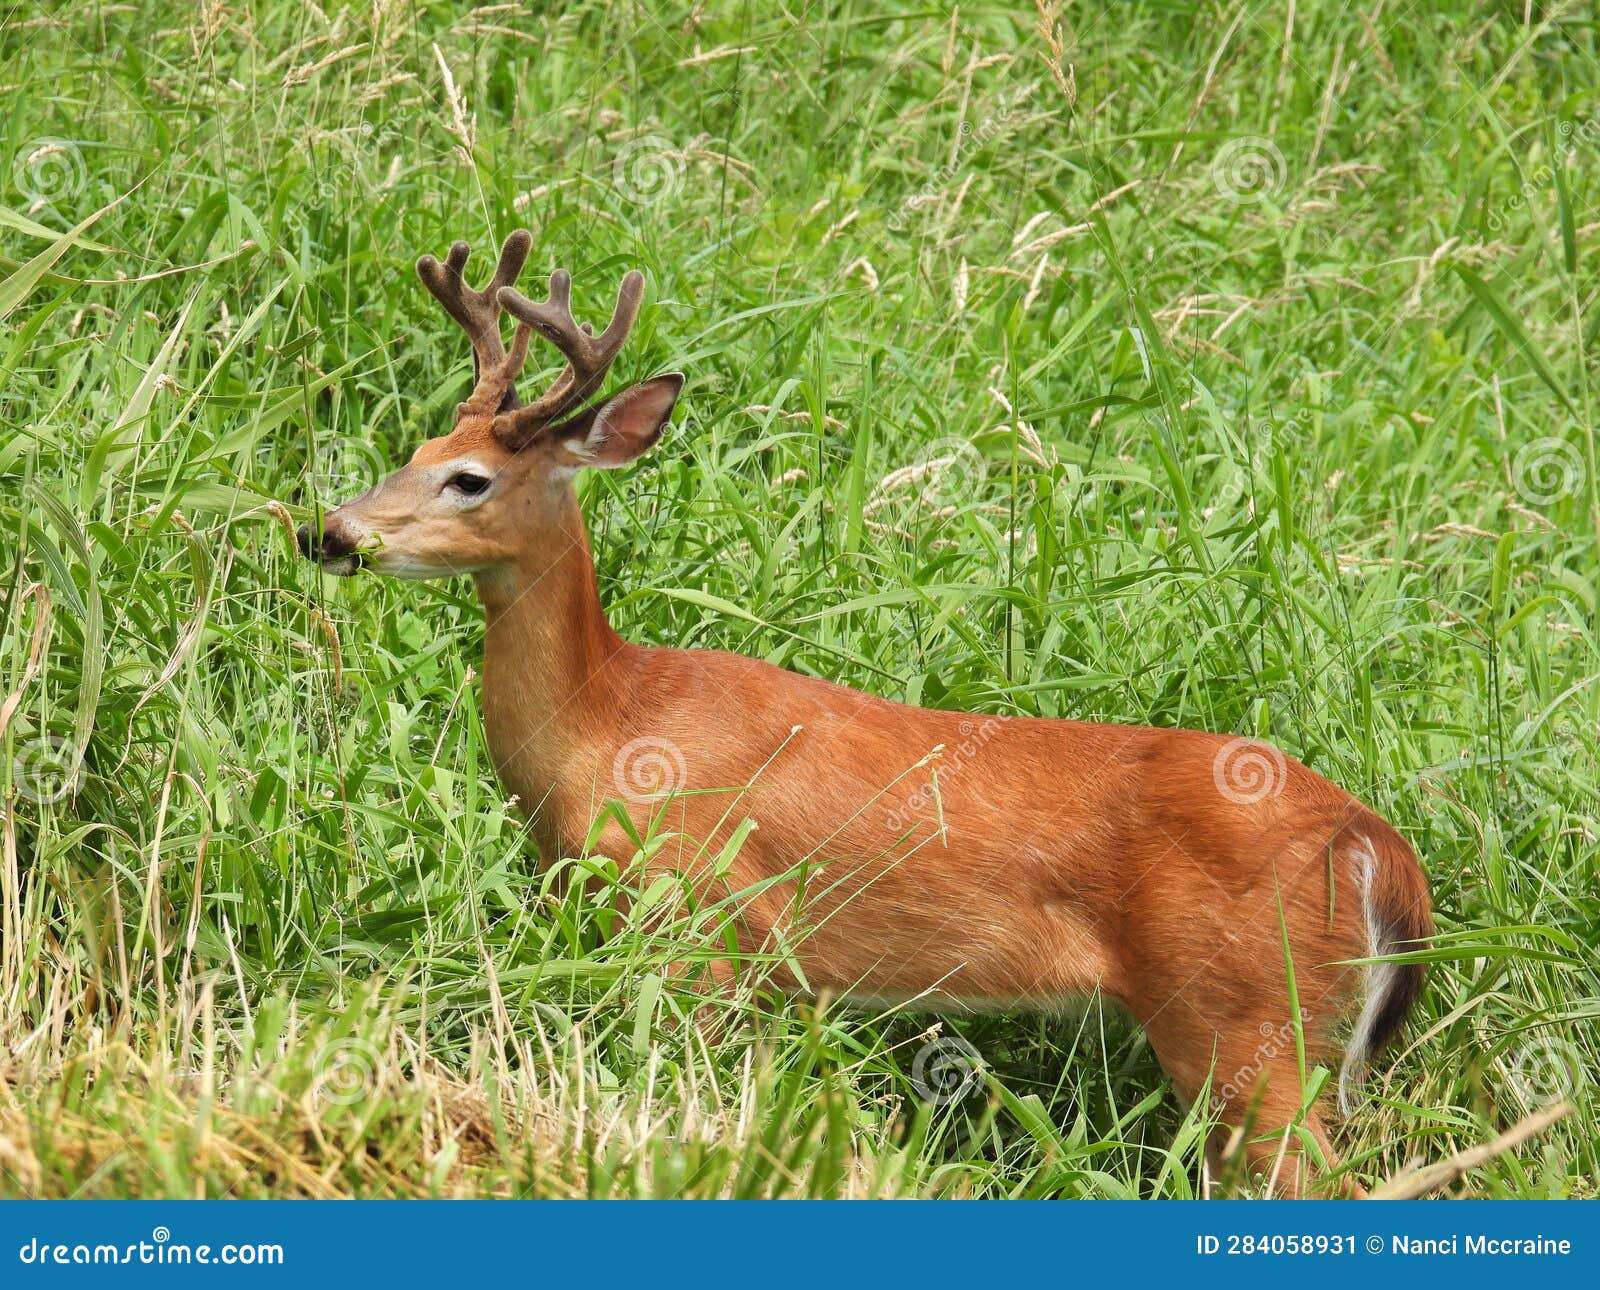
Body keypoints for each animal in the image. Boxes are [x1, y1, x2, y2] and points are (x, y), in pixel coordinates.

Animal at [297, 229, 1432, 1198]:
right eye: (414, 446)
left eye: (469, 479)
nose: (328, 532)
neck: (605, 725)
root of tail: (1376, 846)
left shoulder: (692, 924)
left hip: (1243, 1015)